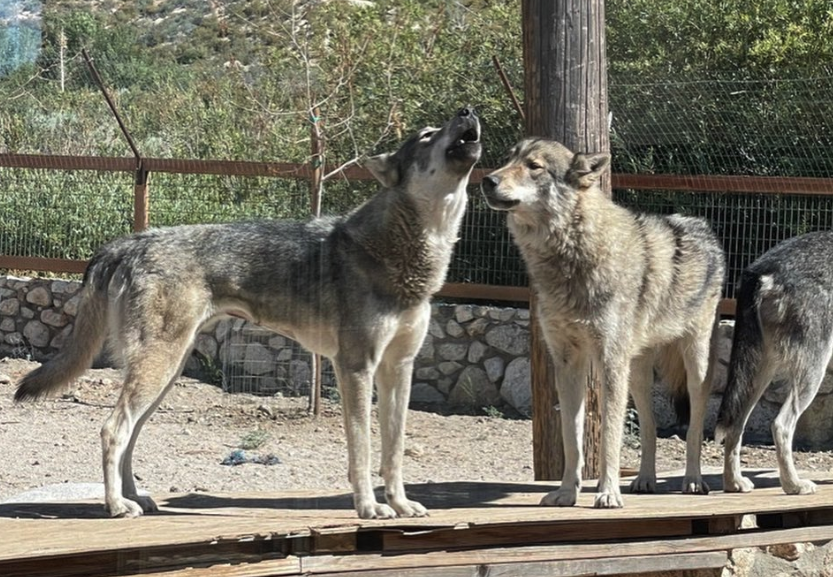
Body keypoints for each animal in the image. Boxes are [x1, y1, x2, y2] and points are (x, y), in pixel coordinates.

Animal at [15, 107, 482, 519]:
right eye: (427, 134)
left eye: (438, 127)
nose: (468, 111)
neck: (407, 249)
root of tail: (129, 242)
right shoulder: (355, 368)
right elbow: (363, 450)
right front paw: (369, 508)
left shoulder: (398, 369)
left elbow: (394, 449)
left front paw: (401, 505)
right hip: (157, 370)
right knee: (113, 430)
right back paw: (115, 506)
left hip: (165, 375)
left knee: (131, 435)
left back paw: (137, 499)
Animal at [481, 138, 724, 508]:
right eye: (507, 159)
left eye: (534, 166)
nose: (486, 180)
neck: (571, 258)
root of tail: (704, 228)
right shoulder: (567, 363)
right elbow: (572, 437)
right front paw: (567, 492)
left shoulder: (609, 363)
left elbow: (610, 436)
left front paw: (608, 492)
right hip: (636, 374)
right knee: (651, 427)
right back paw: (644, 479)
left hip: (693, 368)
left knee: (694, 428)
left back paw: (694, 480)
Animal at [716, 231, 833, 496]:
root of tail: (759, 271)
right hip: (812, 372)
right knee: (781, 425)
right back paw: (794, 485)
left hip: (758, 373)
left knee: (735, 425)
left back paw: (734, 483)